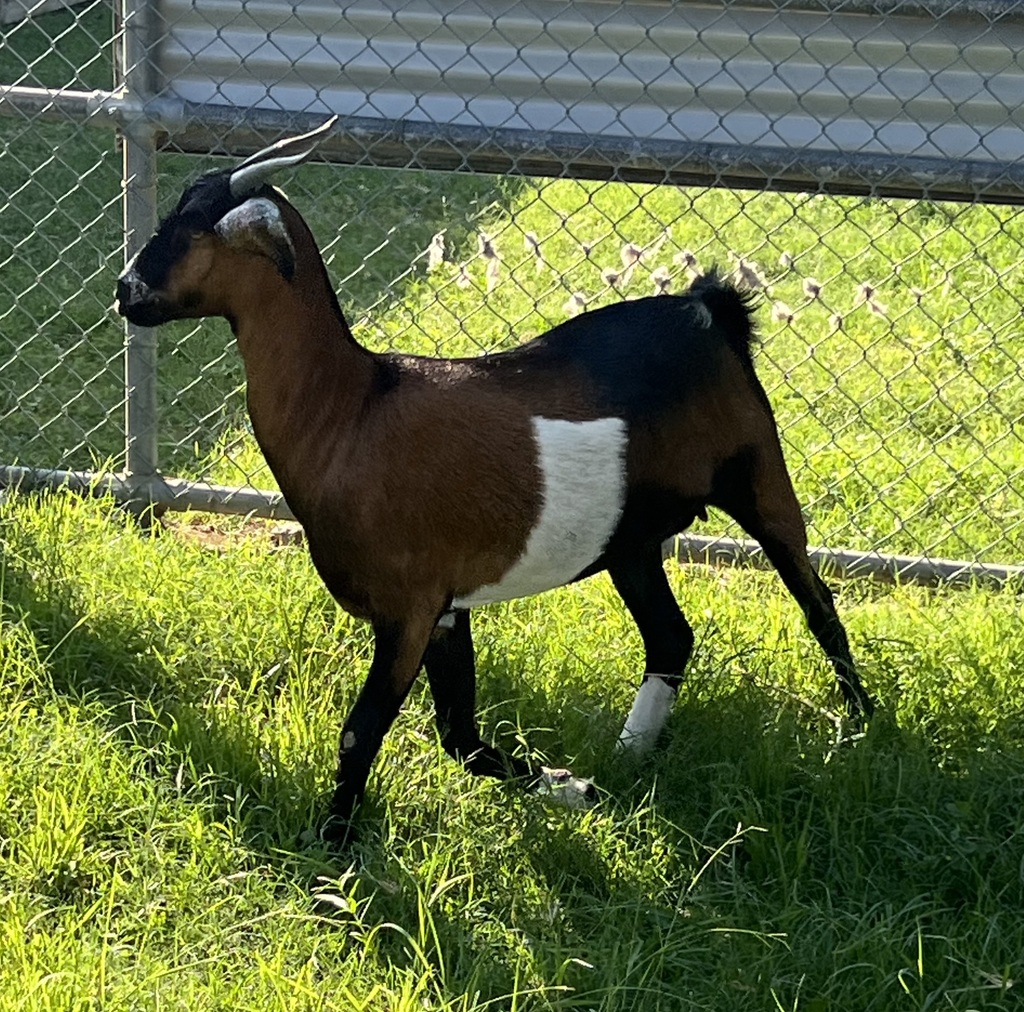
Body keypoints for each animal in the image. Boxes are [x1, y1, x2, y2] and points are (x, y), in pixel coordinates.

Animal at [115, 119, 875, 843]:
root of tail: (708, 308)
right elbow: (460, 737)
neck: (354, 411)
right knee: (671, 636)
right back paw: (628, 756)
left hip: (760, 479)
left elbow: (363, 732)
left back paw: (860, 730)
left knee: (819, 606)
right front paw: (572, 788)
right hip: (628, 540)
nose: (126, 292)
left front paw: (330, 853)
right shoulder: (448, 609)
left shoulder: (410, 608)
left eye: (191, 228)